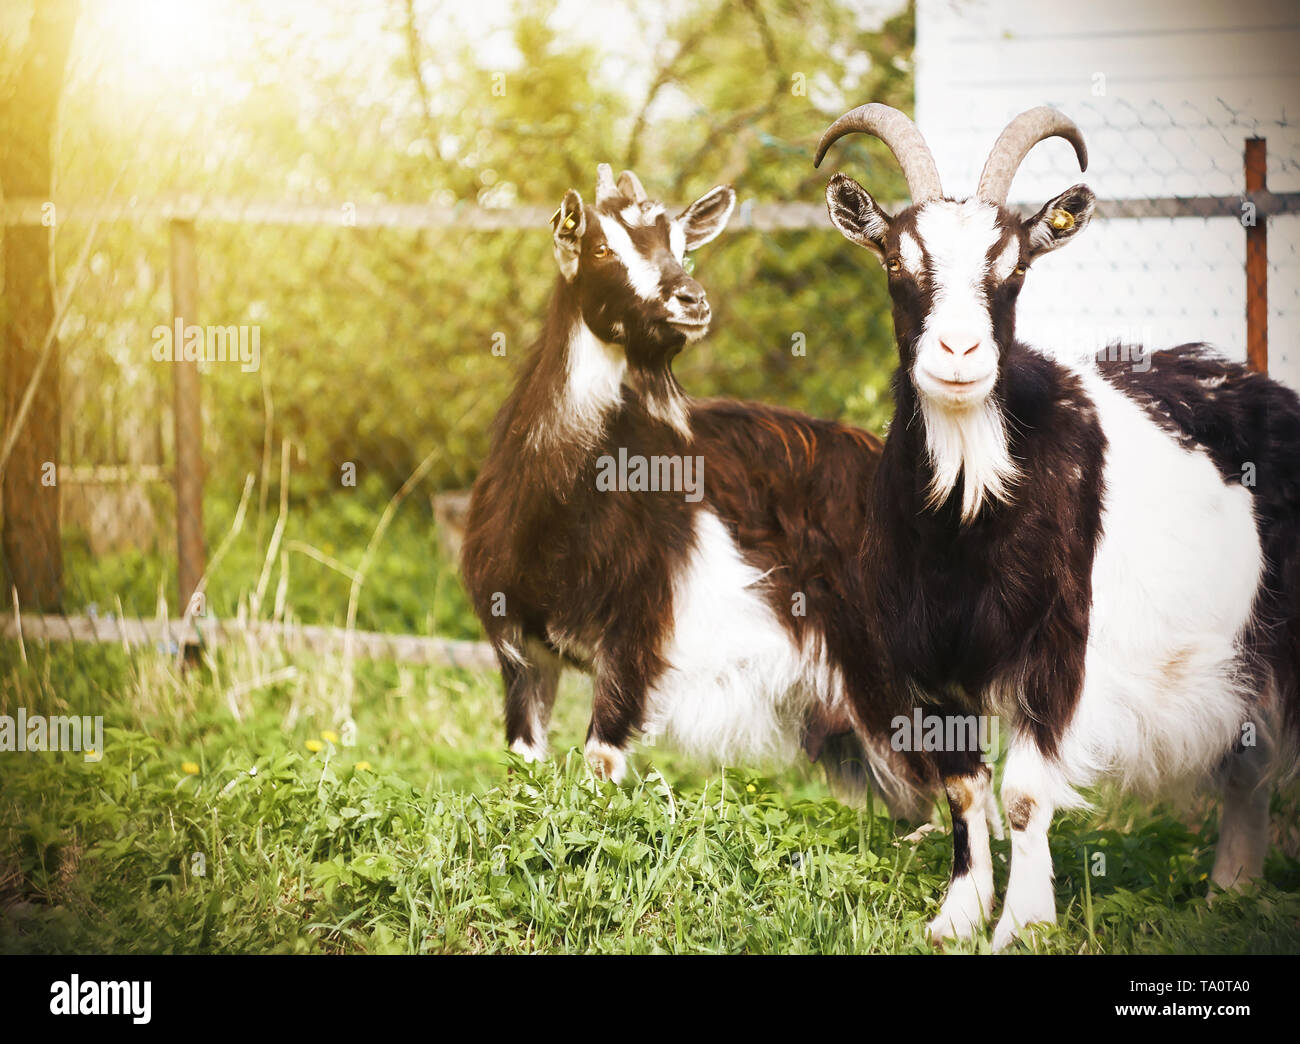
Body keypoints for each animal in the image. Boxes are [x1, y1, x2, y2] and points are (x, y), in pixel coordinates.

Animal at [460, 164, 928, 816]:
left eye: (683, 246)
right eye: (599, 247)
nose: (692, 300)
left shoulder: (635, 635)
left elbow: (599, 762)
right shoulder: (520, 649)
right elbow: (522, 768)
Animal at [815, 103, 1300, 948]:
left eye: (1012, 271)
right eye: (898, 265)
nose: (959, 353)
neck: (968, 521)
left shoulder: (1059, 652)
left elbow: (1023, 795)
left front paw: (1022, 926)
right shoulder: (932, 657)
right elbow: (964, 789)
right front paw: (957, 917)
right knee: (1246, 760)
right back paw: (1229, 894)